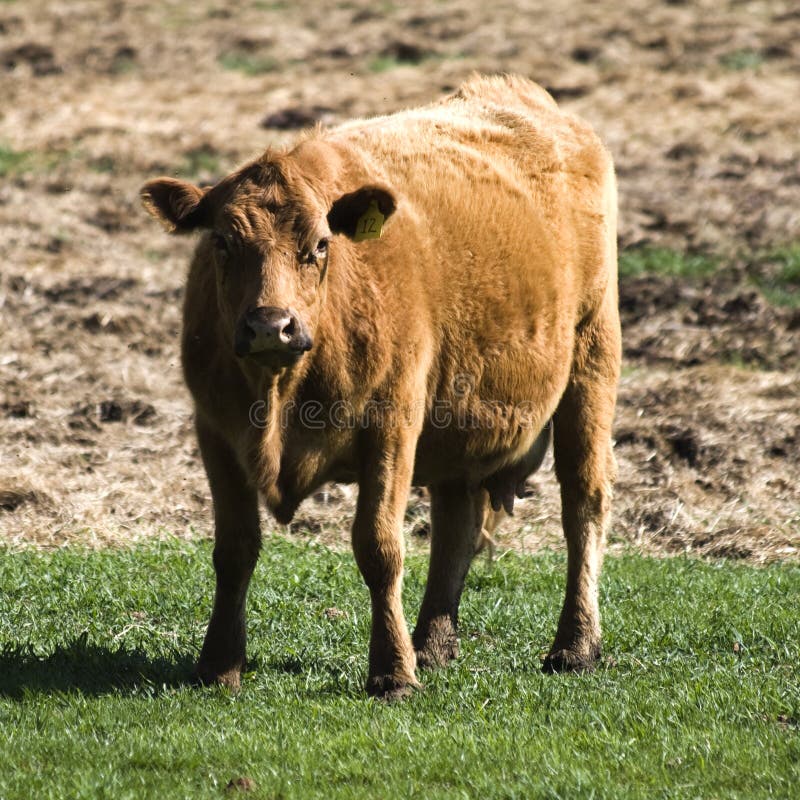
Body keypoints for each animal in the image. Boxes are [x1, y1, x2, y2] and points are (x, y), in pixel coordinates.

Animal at [140, 74, 621, 699]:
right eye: (222, 243)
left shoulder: (392, 424)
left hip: (591, 365)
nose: (271, 324)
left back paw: (575, 646)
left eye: (320, 244)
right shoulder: (215, 432)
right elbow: (235, 549)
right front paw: (218, 665)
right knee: (456, 526)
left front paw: (392, 671)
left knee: (584, 503)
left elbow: (379, 547)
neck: (280, 395)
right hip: (462, 421)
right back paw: (433, 645)